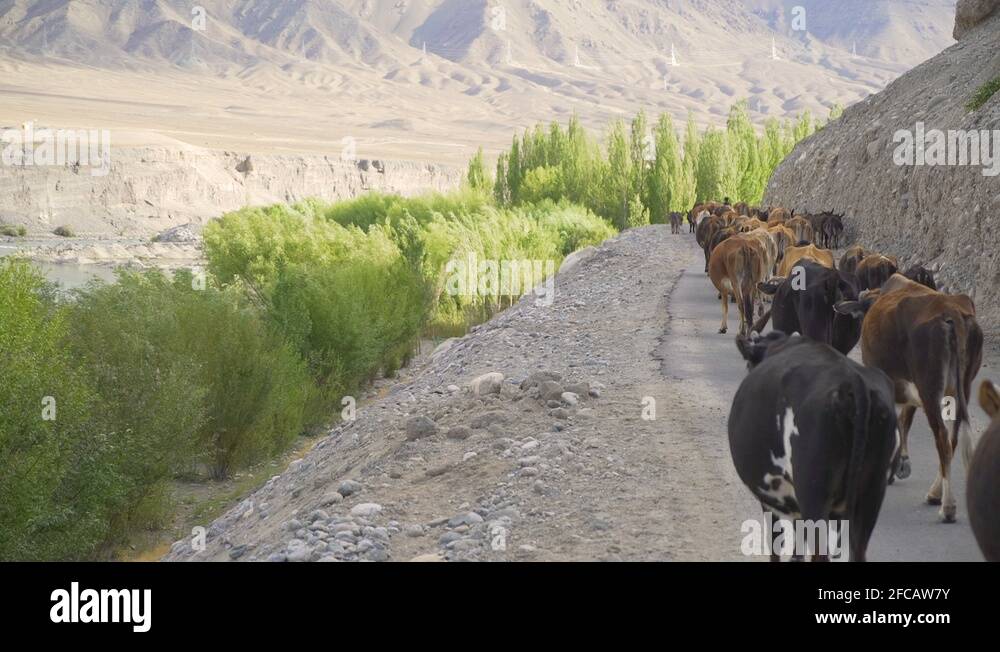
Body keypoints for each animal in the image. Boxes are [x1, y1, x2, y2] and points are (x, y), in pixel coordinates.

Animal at [729, 332, 899, 562]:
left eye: (748, 363)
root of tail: (852, 381)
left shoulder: (771, 501)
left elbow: (776, 546)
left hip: (814, 492)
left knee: (820, 553)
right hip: (872, 493)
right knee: (857, 551)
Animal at [834, 274, 984, 522]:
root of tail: (951, 311)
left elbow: (897, 420)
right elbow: (905, 419)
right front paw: (901, 464)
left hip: (930, 388)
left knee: (942, 438)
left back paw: (948, 506)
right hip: (959, 388)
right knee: (952, 439)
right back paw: (935, 493)